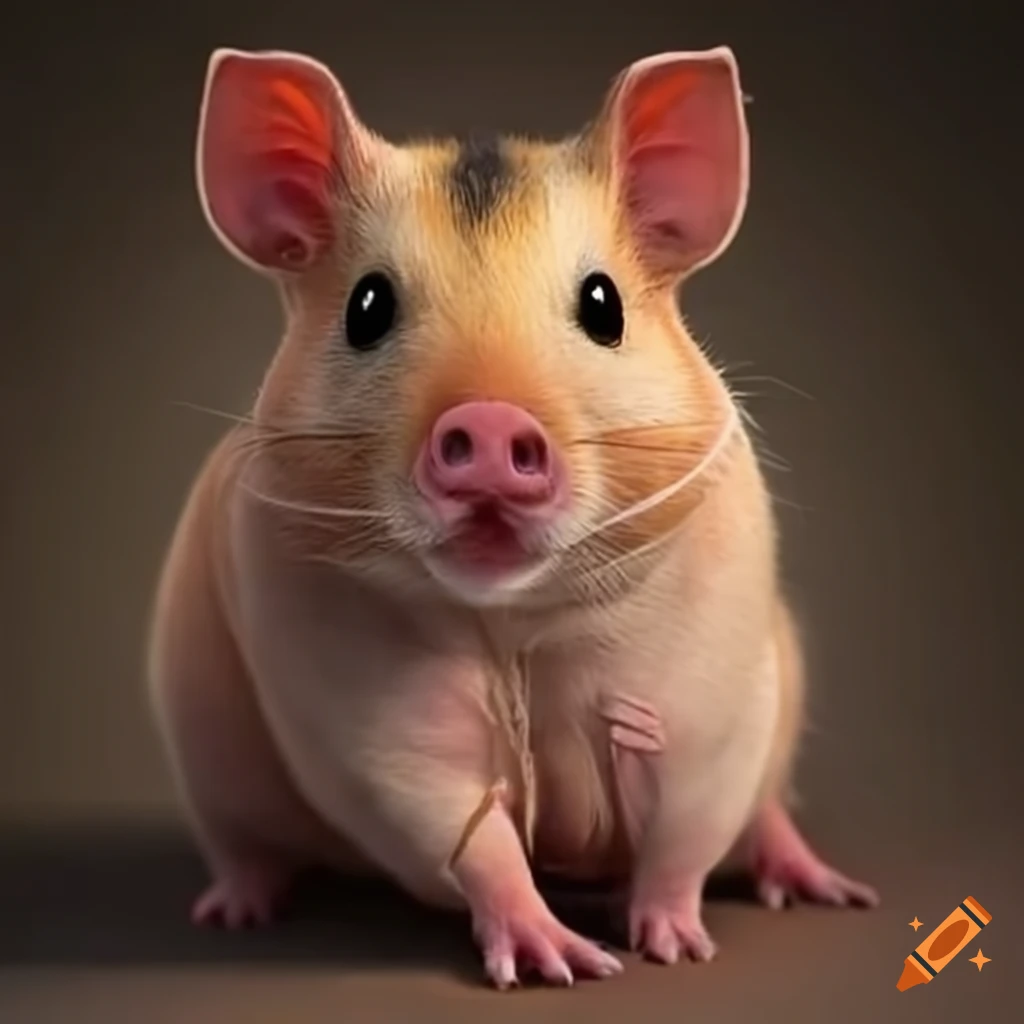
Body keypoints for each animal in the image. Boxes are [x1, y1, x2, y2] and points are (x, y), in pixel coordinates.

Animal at [147, 45, 879, 989]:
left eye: (603, 303)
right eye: (367, 306)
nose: (490, 427)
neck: (521, 622)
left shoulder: (717, 686)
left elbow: (688, 825)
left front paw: (673, 947)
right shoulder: (358, 699)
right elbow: (460, 824)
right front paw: (560, 965)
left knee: (762, 813)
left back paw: (822, 885)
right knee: (244, 843)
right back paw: (236, 911)